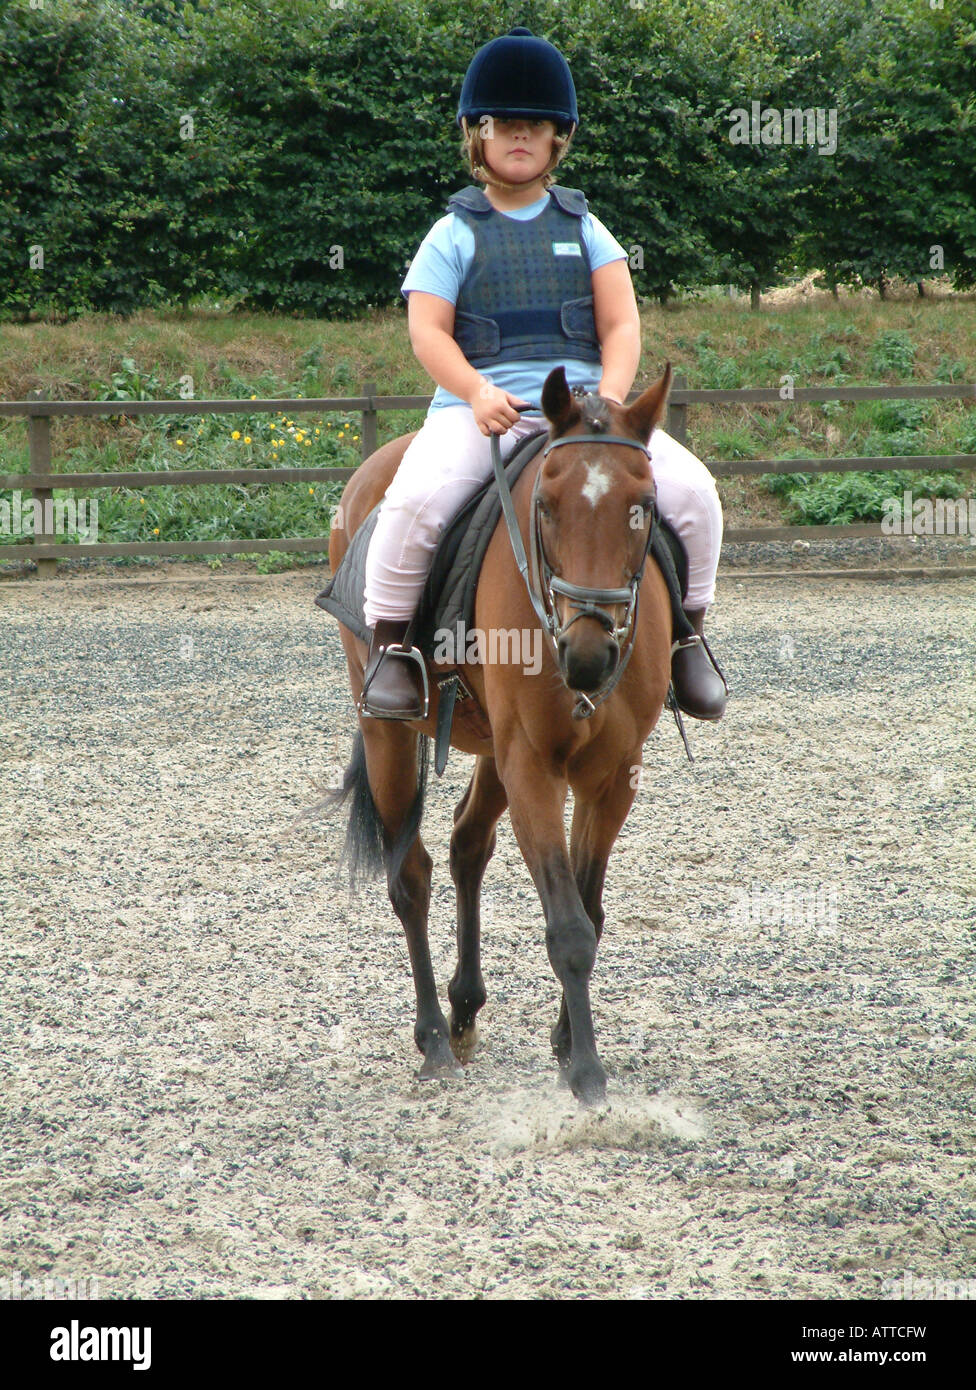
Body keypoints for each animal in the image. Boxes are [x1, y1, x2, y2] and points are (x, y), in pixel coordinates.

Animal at [325, 363, 675, 1104]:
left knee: (466, 844)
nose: (589, 656)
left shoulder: (613, 776)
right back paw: (433, 1038)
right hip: (390, 732)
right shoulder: (534, 767)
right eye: (546, 505)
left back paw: (464, 1010)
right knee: (411, 875)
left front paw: (567, 1043)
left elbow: (590, 908)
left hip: (492, 747)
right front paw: (588, 1076)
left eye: (643, 505)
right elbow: (568, 926)